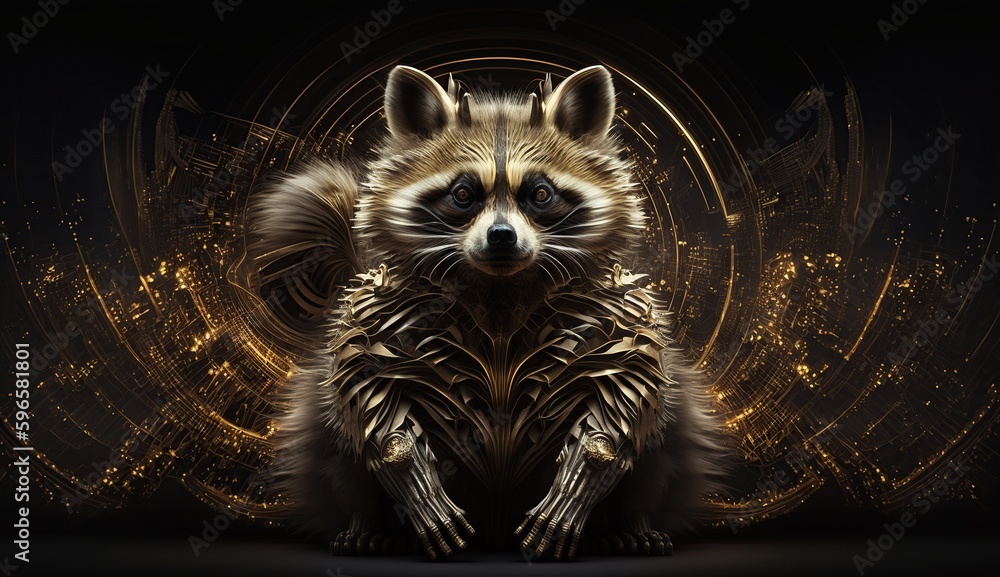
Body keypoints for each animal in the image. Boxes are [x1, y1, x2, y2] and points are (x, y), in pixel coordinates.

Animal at [252, 65, 730, 560]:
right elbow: (372, 403)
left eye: (540, 194)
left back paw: (632, 524)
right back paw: (365, 524)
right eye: (463, 194)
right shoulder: (381, 313)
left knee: (661, 453)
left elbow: (620, 406)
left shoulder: (617, 313)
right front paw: (418, 488)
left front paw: (573, 493)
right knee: (338, 455)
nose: (501, 236)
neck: (501, 289)